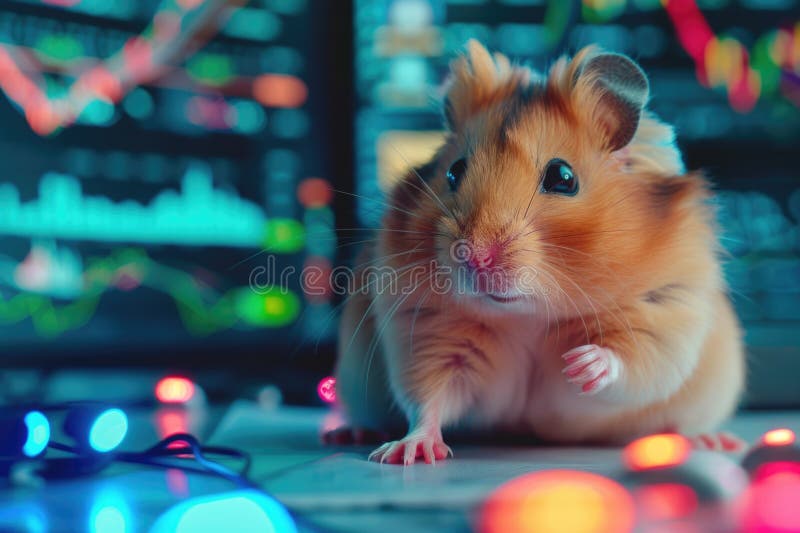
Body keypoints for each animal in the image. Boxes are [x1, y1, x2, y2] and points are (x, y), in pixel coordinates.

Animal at [332, 40, 745, 465]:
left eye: (563, 177)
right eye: (453, 172)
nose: (475, 255)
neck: (527, 314)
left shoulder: (664, 313)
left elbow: (632, 361)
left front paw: (582, 364)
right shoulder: (429, 336)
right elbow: (429, 397)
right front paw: (406, 452)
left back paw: (714, 441)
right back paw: (353, 433)